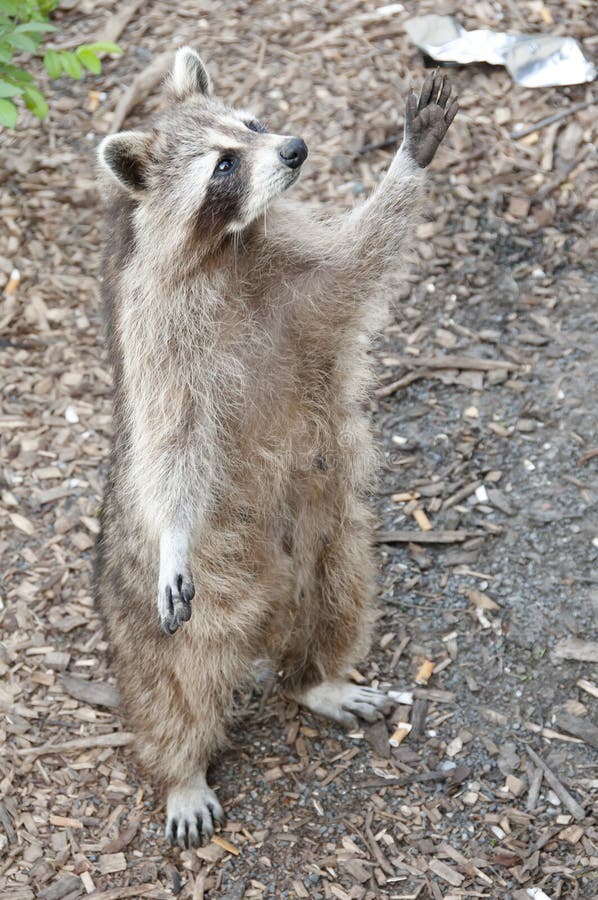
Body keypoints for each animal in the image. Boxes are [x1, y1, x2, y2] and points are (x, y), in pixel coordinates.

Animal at [95, 47, 458, 848]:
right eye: (224, 165)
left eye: (254, 123)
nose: (293, 149)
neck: (230, 245)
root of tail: (263, 625)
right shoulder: (160, 337)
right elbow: (171, 445)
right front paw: (173, 530)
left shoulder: (300, 277)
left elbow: (363, 255)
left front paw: (409, 158)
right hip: (159, 612)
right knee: (176, 689)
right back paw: (181, 770)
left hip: (332, 542)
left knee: (339, 599)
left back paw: (315, 678)